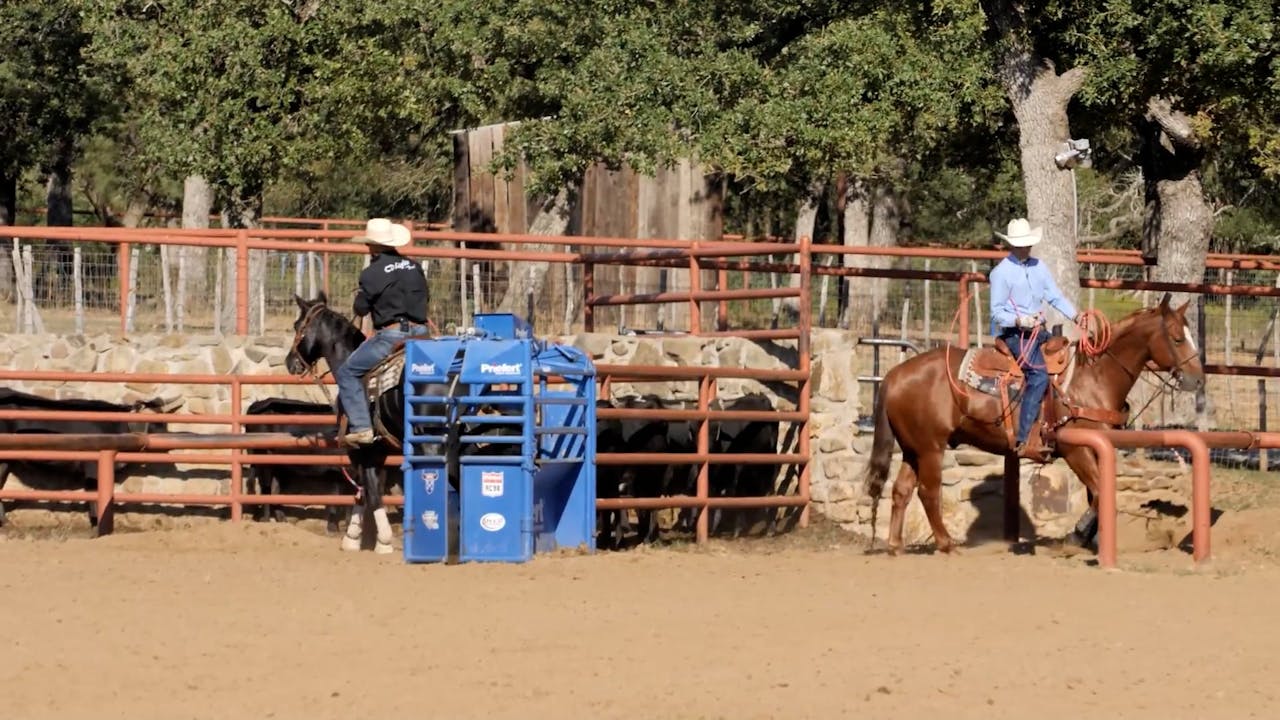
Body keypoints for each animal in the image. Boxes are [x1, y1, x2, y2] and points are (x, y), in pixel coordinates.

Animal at [284, 292, 462, 555]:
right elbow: (370, 488)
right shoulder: (382, 449)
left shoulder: (364, 448)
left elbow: (368, 489)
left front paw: (370, 540)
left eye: (298, 325)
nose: (290, 362)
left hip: (431, 440)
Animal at [860, 292, 1205, 556]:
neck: (1093, 379)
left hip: (913, 448)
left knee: (901, 491)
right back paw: (946, 545)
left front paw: (1088, 539)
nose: (1197, 379)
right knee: (928, 492)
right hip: (931, 448)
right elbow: (1098, 491)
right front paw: (1076, 537)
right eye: (1177, 338)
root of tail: (895, 374)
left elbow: (1097, 495)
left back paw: (895, 546)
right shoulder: (1074, 449)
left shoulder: (1098, 448)